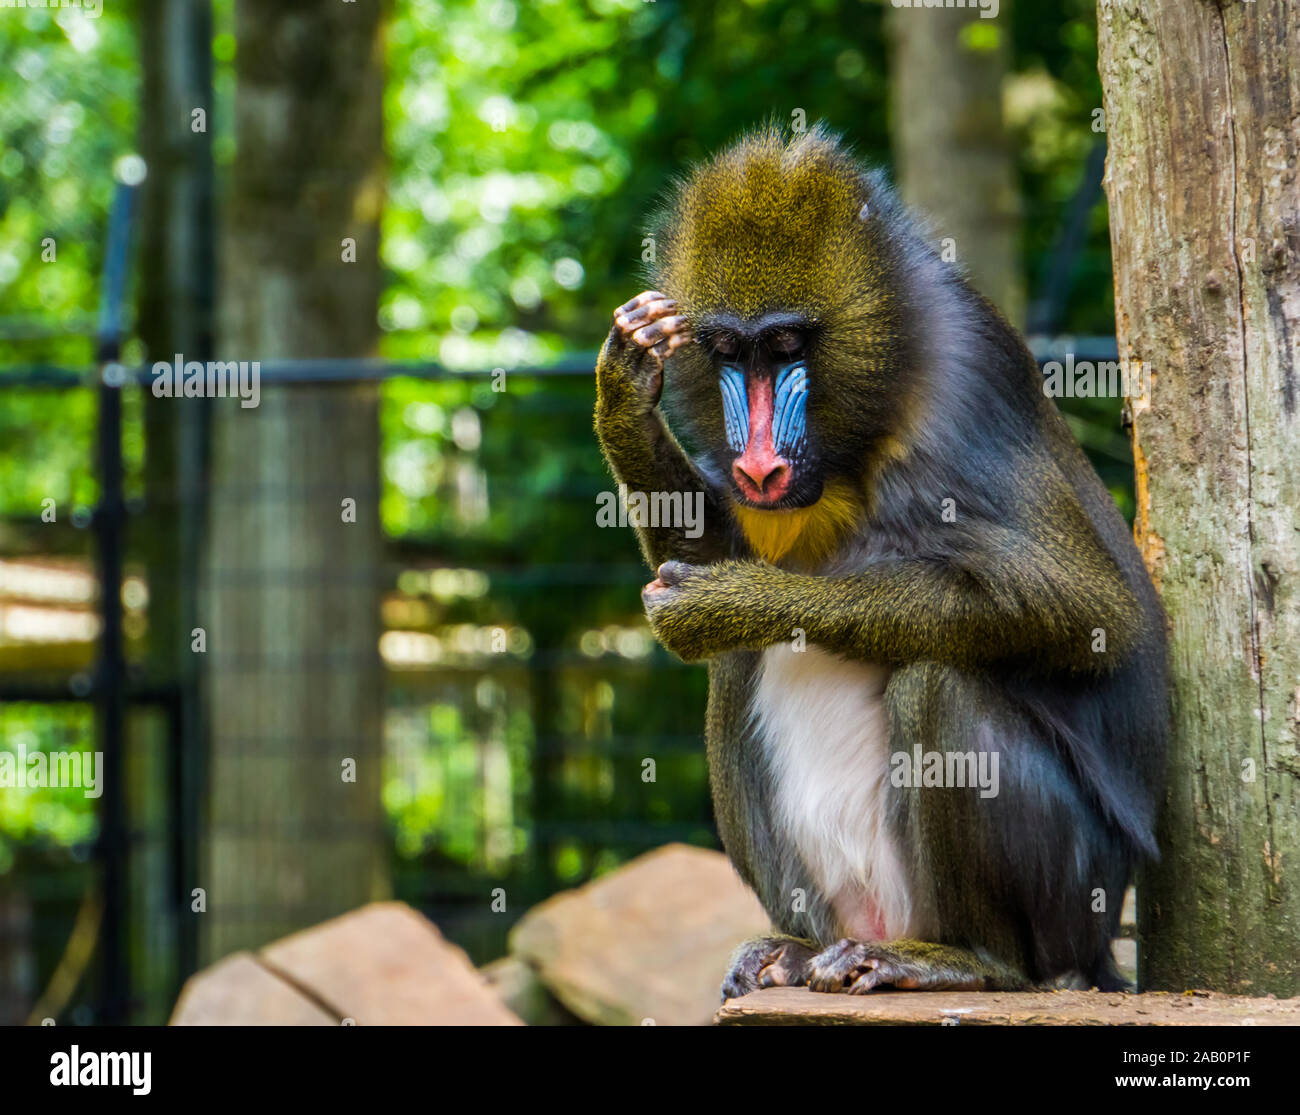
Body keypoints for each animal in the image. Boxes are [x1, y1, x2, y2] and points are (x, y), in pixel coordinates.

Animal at [593, 125, 1168, 998]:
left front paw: (731, 602)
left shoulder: (964, 398)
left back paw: (968, 959)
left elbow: (1086, 609)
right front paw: (625, 389)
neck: (862, 425)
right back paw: (793, 951)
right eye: (727, 350)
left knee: (937, 681)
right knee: (735, 671)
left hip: (1073, 900)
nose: (757, 464)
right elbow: (721, 552)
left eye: (785, 347)